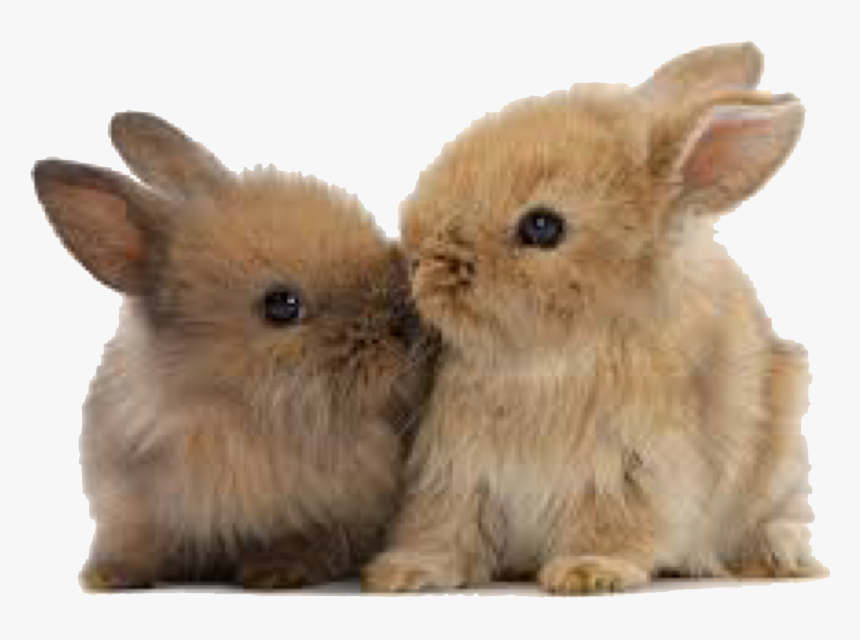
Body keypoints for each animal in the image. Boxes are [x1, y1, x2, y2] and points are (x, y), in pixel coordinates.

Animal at [32, 111, 437, 591]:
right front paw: (107, 576)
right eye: (281, 305)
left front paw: (275, 569)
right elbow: (135, 542)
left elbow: (315, 541)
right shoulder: (128, 503)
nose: (406, 324)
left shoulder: (346, 512)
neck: (231, 413)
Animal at [362, 42, 826, 594]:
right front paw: (404, 572)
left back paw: (777, 558)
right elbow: (444, 530)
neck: (543, 362)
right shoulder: (454, 473)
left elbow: (613, 526)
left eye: (542, 226)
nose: (415, 259)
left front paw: (588, 572)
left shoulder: (635, 470)